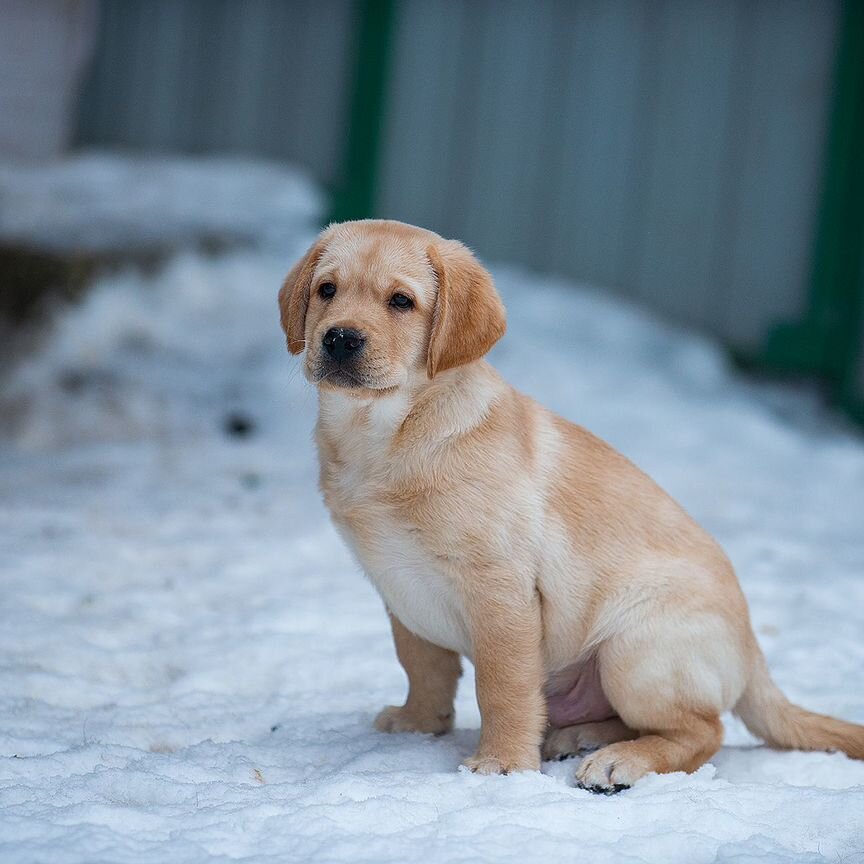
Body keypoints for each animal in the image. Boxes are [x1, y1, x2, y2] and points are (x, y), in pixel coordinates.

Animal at [280, 219, 860, 792]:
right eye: (326, 290)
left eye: (401, 301)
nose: (340, 338)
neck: (385, 432)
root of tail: (753, 651)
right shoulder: (399, 585)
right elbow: (422, 664)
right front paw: (419, 723)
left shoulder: (500, 588)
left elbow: (502, 686)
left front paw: (503, 765)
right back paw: (581, 737)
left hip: (635, 650)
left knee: (702, 731)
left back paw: (617, 762)